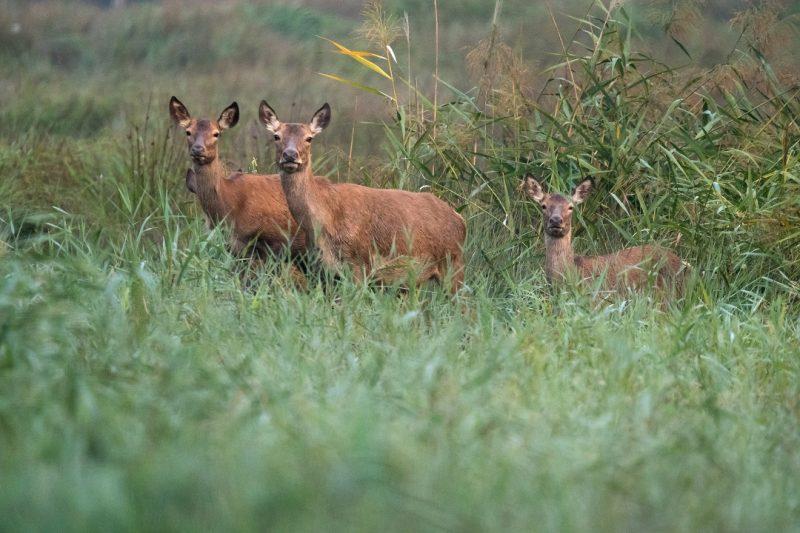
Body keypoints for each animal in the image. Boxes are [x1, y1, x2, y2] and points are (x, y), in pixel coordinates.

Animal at [257, 101, 466, 293]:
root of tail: (460, 219)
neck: (325, 221)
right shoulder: (323, 269)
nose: (290, 155)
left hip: (453, 264)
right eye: (276, 136)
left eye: (309, 138)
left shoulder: (361, 263)